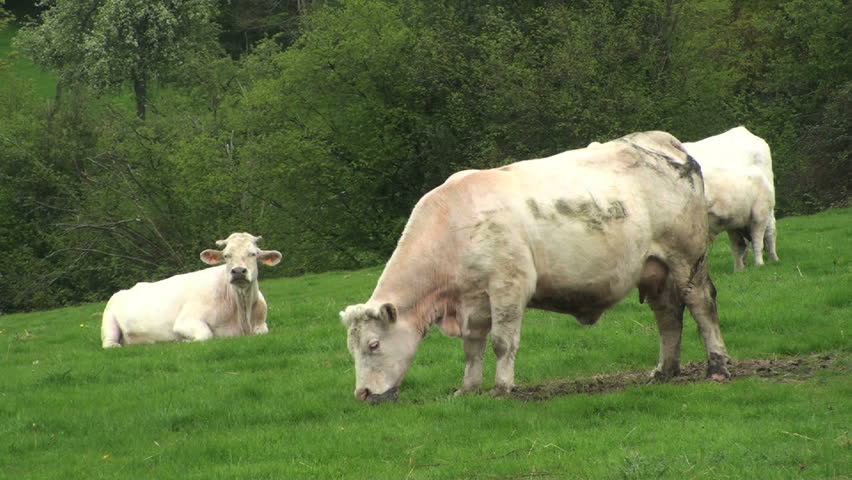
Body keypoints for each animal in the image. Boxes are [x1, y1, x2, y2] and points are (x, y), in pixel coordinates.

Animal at [101, 233, 282, 348]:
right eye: (226, 255)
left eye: (253, 254)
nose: (238, 271)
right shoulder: (185, 321)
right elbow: (206, 335)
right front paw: (182, 341)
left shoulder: (261, 325)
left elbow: (263, 331)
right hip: (108, 322)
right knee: (110, 344)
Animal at [340, 131, 730, 404]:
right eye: (351, 349)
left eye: (373, 344)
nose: (362, 395)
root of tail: (662, 141)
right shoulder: (473, 301)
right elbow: (472, 348)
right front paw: (468, 389)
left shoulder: (508, 286)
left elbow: (502, 342)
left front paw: (501, 388)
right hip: (654, 269)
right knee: (668, 316)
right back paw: (664, 371)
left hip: (687, 257)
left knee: (701, 305)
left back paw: (718, 367)